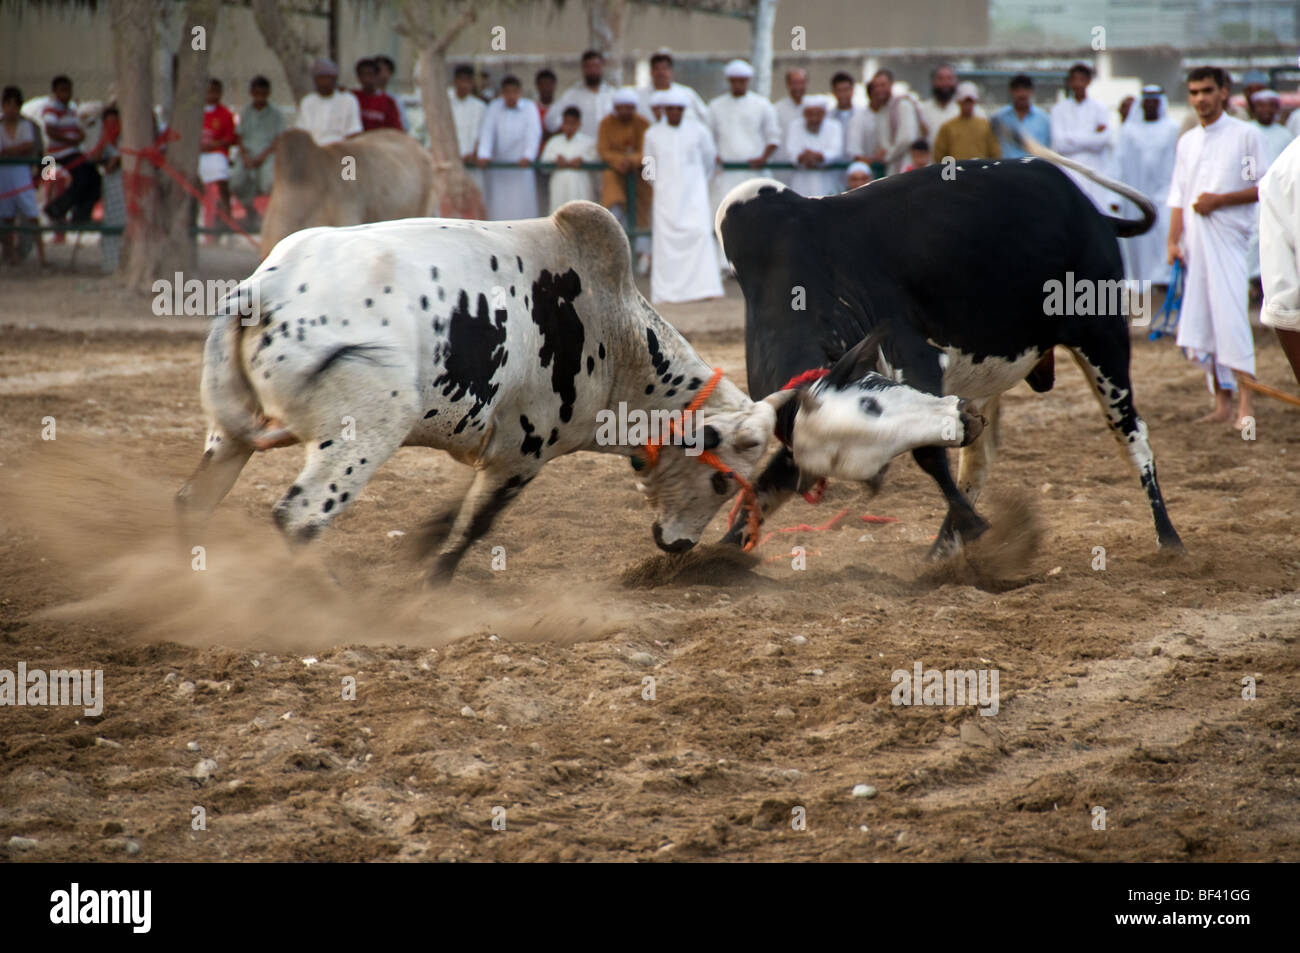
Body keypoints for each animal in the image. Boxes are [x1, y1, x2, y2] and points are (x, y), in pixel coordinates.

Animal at [715, 147, 1184, 557]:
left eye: (873, 404)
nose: (963, 418)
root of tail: (1092, 212)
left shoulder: (917, 357)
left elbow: (927, 453)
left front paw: (975, 525)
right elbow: (769, 484)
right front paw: (718, 555)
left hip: (1102, 338)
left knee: (1132, 435)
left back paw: (1169, 539)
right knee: (978, 463)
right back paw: (943, 550)